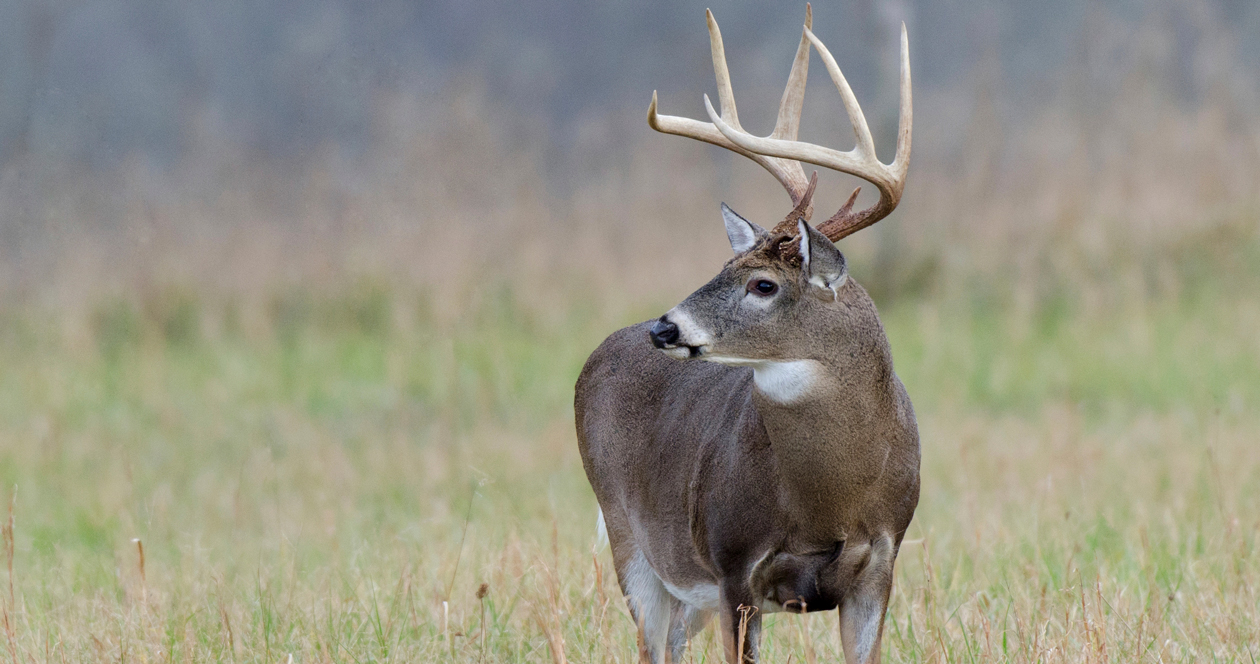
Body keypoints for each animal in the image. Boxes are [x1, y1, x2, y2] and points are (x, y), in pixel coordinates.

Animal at [575, 6, 917, 664]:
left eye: (762, 284)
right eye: (723, 265)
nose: (665, 326)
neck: (831, 504)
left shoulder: (881, 564)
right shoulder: (732, 564)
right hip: (633, 541)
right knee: (650, 644)